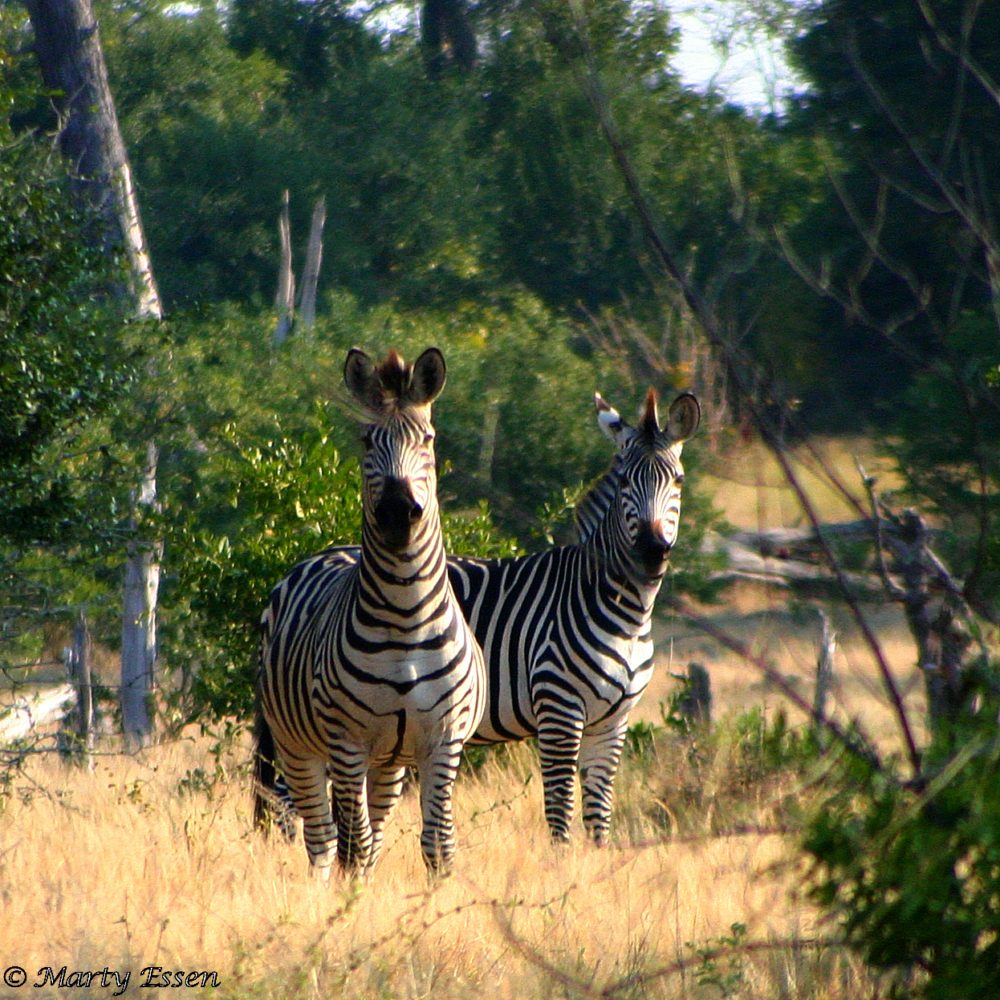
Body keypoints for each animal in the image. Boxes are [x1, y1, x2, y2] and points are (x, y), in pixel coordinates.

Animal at [254, 346, 485, 877]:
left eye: (428, 439)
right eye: (366, 440)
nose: (399, 511)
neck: (405, 619)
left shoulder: (443, 740)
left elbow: (437, 843)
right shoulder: (347, 740)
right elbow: (351, 843)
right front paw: (350, 901)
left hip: (390, 763)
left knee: (371, 836)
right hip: (298, 747)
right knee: (323, 839)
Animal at [446, 387, 700, 845]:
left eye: (678, 480)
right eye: (624, 482)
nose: (652, 552)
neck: (628, 612)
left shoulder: (613, 721)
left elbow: (599, 814)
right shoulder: (559, 709)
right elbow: (560, 812)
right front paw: (561, 863)